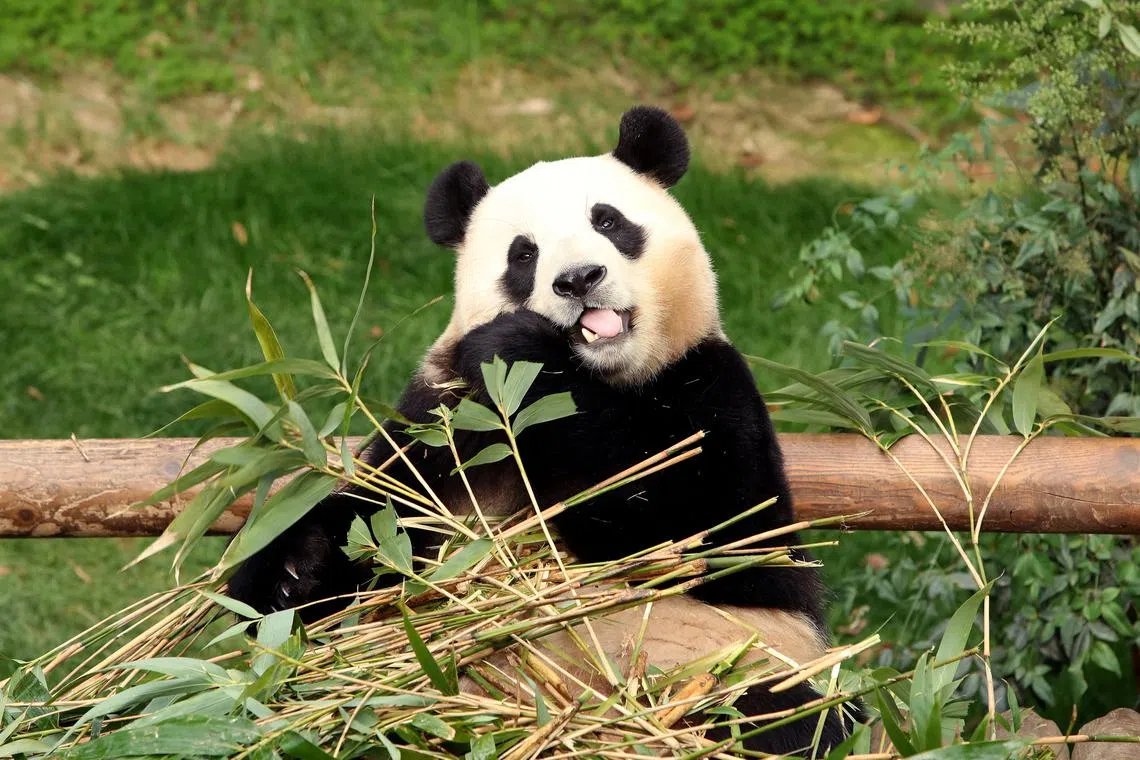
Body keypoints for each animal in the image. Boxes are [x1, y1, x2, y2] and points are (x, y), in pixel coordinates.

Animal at [229, 106, 855, 755]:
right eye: (523, 254)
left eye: (608, 220)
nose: (579, 279)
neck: (604, 375)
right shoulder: (443, 423)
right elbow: (383, 511)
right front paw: (289, 578)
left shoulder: (711, 385)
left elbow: (700, 528)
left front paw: (519, 350)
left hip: (733, 669)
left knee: (782, 717)